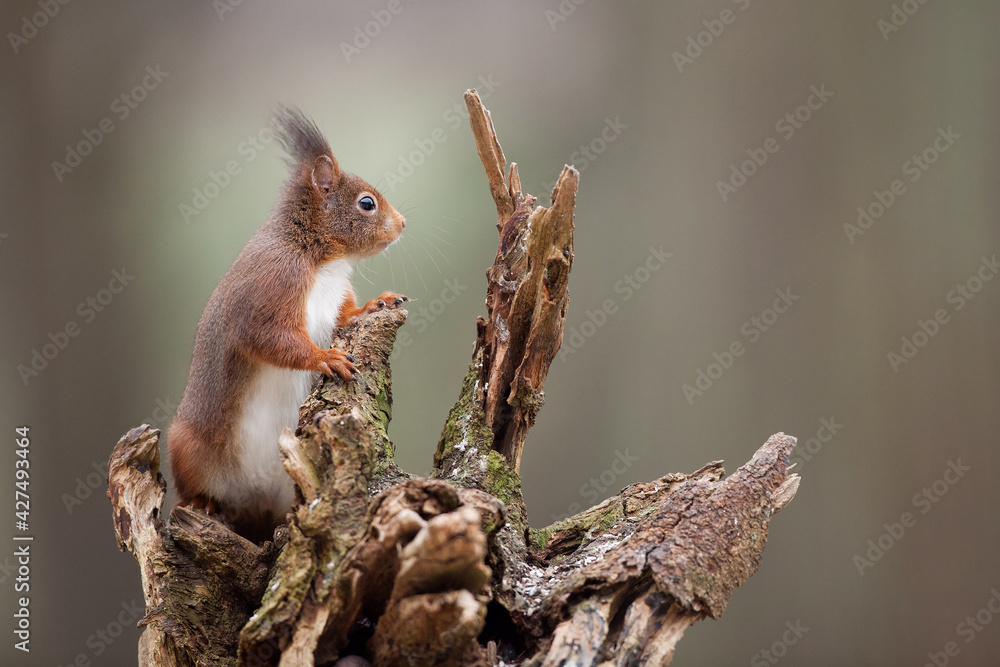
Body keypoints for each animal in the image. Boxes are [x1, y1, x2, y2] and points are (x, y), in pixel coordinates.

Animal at [167, 107, 407, 541]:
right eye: (366, 203)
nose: (402, 225)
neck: (322, 260)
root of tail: (257, 504)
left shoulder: (335, 298)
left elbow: (347, 315)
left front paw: (376, 304)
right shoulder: (272, 285)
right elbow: (268, 337)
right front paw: (325, 358)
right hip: (188, 448)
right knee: (194, 487)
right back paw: (203, 503)